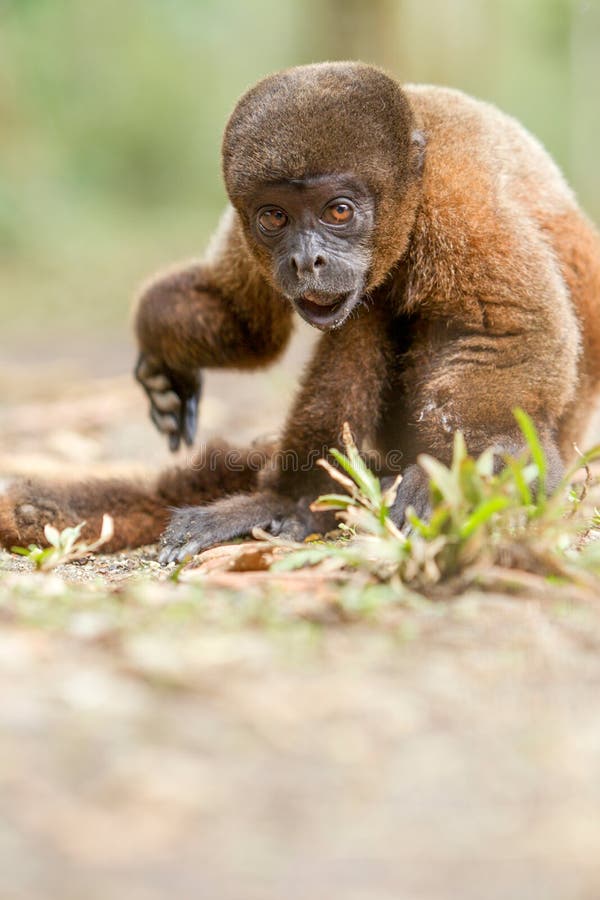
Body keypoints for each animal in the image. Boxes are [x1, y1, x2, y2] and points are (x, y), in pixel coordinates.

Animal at [1, 61, 600, 562]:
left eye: (339, 211)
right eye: (275, 217)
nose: (305, 260)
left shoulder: (459, 205)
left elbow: (511, 330)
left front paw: (457, 473)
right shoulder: (247, 226)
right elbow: (245, 324)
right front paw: (163, 359)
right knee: (362, 320)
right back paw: (290, 502)